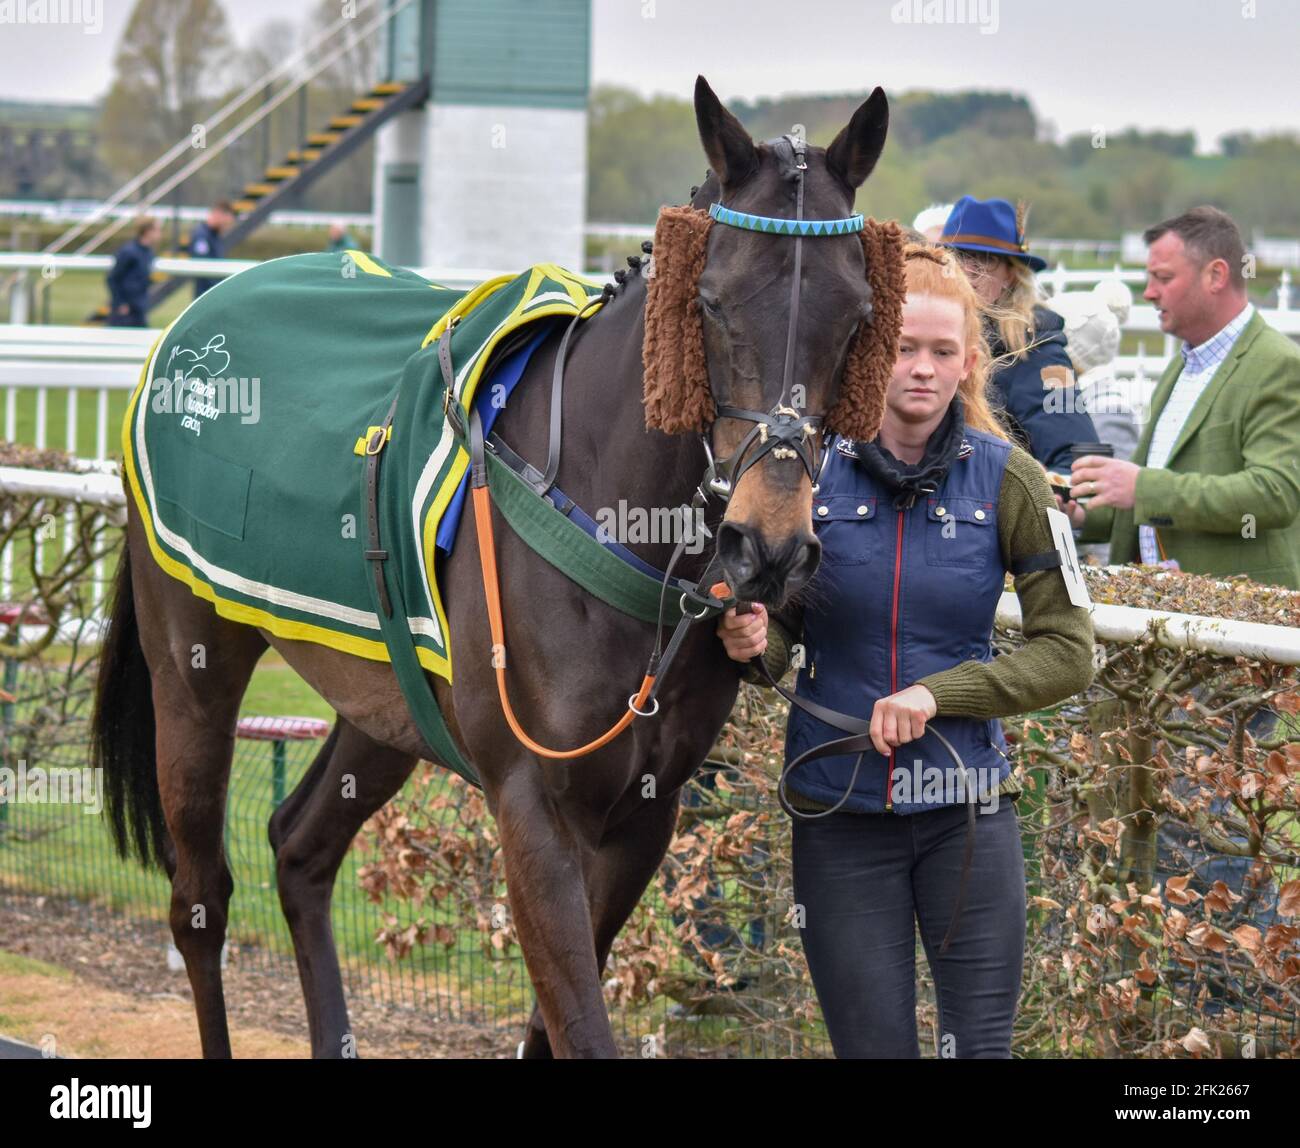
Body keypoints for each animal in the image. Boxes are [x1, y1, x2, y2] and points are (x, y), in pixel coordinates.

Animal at [90, 74, 900, 1058]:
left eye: (859, 316)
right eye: (710, 301)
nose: (770, 546)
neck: (605, 517)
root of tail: (194, 322)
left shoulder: (644, 815)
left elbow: (551, 1029)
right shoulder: (534, 809)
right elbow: (581, 1026)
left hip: (385, 700)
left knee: (298, 847)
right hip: (193, 666)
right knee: (200, 899)